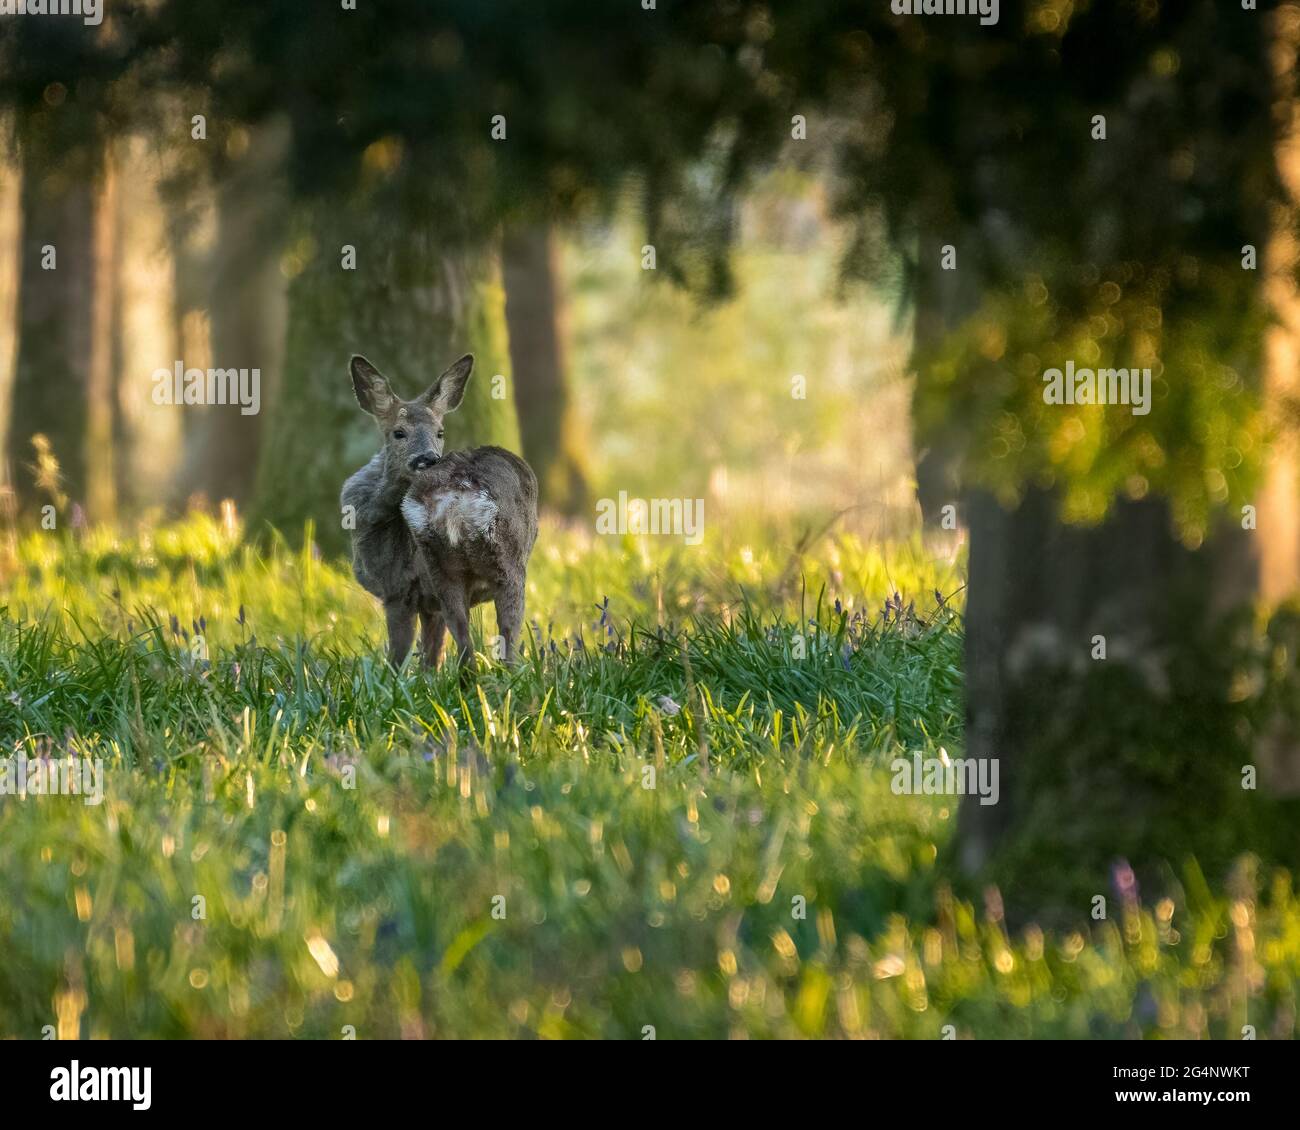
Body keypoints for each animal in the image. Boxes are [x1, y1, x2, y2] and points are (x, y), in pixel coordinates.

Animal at [341, 353, 538, 671]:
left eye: (440, 432)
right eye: (398, 432)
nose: (428, 459)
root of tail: (458, 495)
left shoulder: (399, 591)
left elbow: (410, 659)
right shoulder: (415, 596)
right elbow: (427, 658)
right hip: (487, 569)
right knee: (485, 644)